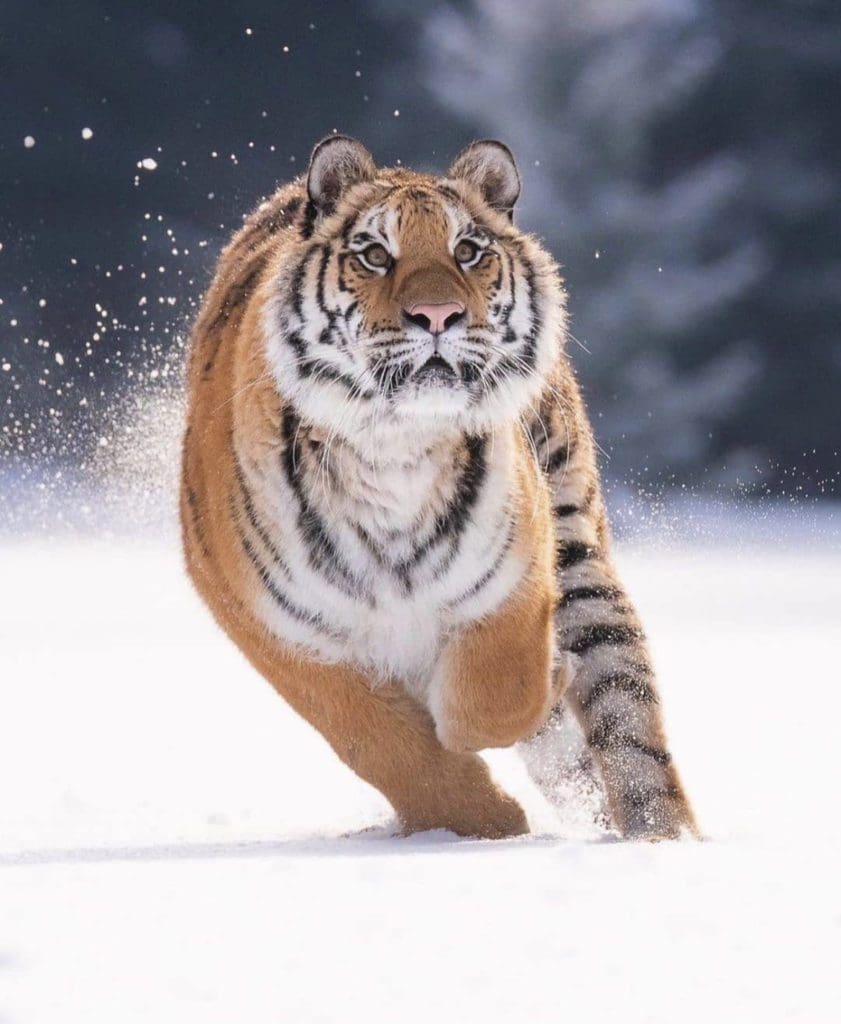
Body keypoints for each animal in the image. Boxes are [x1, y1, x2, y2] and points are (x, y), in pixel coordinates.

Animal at [180, 134, 698, 840]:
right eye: (375, 254)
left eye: (468, 251)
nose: (437, 315)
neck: (395, 446)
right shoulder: (274, 624)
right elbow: (381, 743)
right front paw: (486, 820)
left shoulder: (516, 573)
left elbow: (494, 698)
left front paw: (543, 681)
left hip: (580, 548)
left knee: (630, 725)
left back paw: (664, 840)